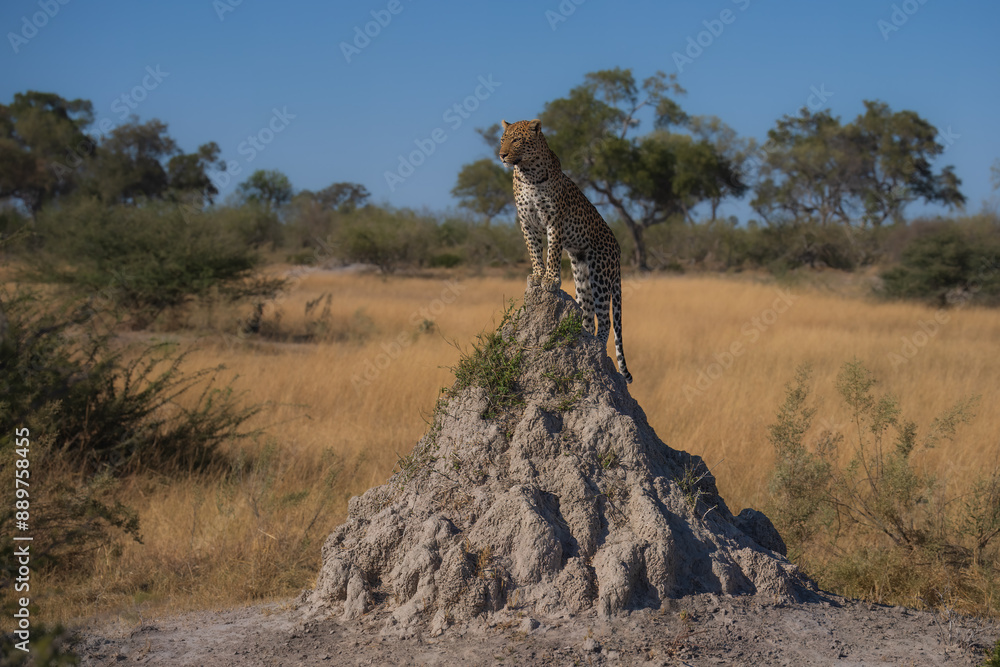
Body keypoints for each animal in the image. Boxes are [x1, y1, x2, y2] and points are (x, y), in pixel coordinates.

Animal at [499, 118, 632, 384]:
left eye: (516, 140)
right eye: (502, 139)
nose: (502, 155)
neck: (528, 173)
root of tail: (618, 248)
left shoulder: (554, 221)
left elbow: (552, 253)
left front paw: (551, 280)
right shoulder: (526, 222)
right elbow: (534, 251)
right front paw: (537, 276)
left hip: (600, 275)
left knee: (605, 320)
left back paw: (598, 348)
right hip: (581, 276)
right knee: (588, 316)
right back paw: (586, 339)